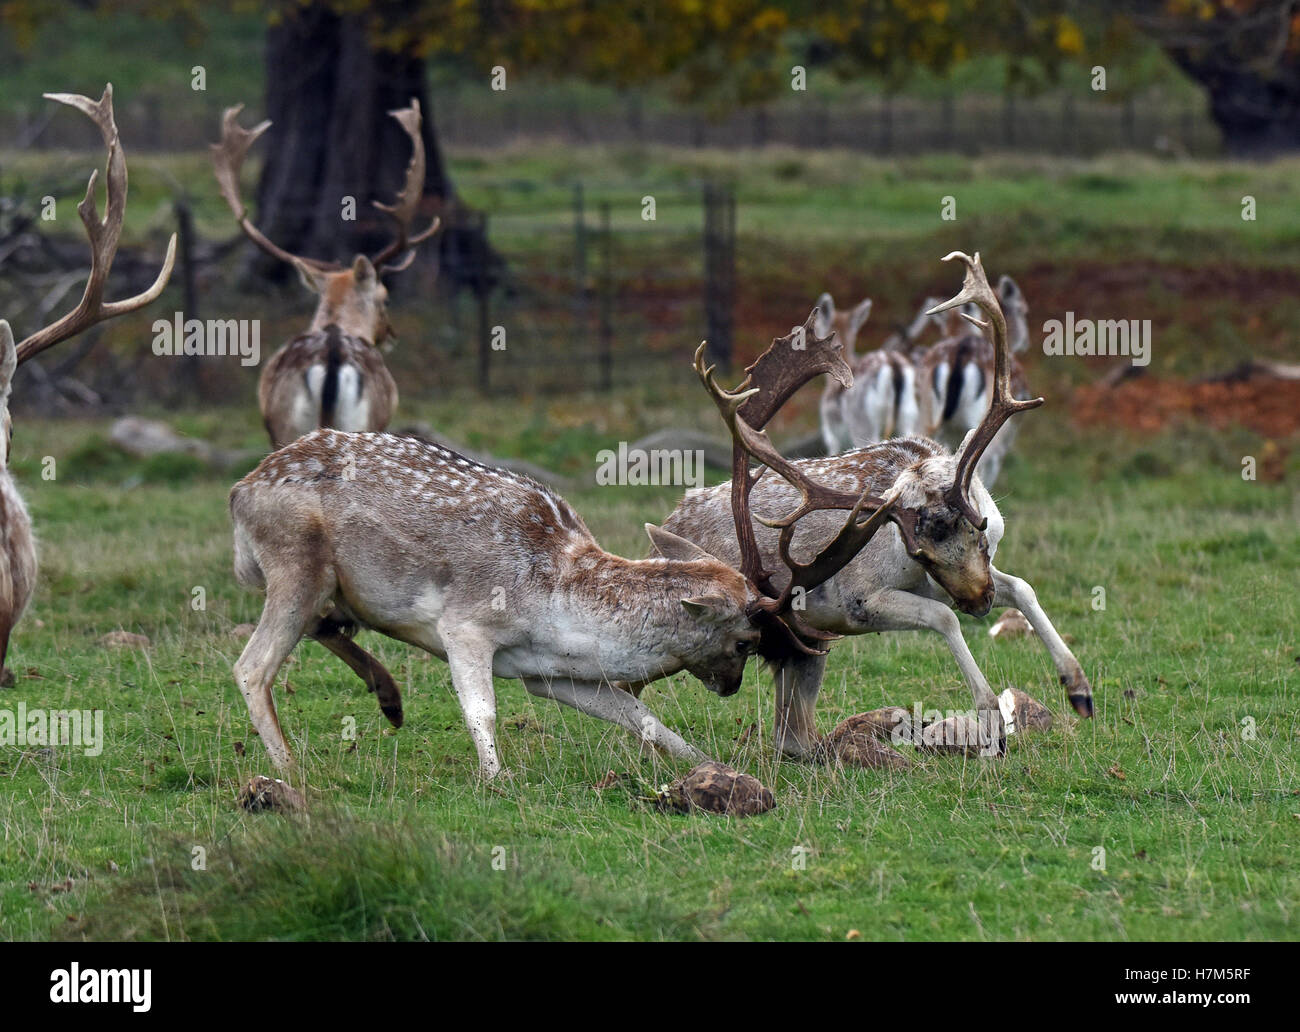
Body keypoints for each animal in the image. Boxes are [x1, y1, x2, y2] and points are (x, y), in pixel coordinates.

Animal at [228, 310, 929, 781]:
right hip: (294, 564)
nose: (731, 688)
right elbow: (481, 712)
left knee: (322, 628)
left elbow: (642, 718)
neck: (554, 602)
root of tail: (241, 490)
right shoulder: (464, 624)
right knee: (251, 665)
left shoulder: (548, 673)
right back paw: (290, 768)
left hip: (326, 586)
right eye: (744, 640)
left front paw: (704, 764)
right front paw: (496, 777)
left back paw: (388, 700)